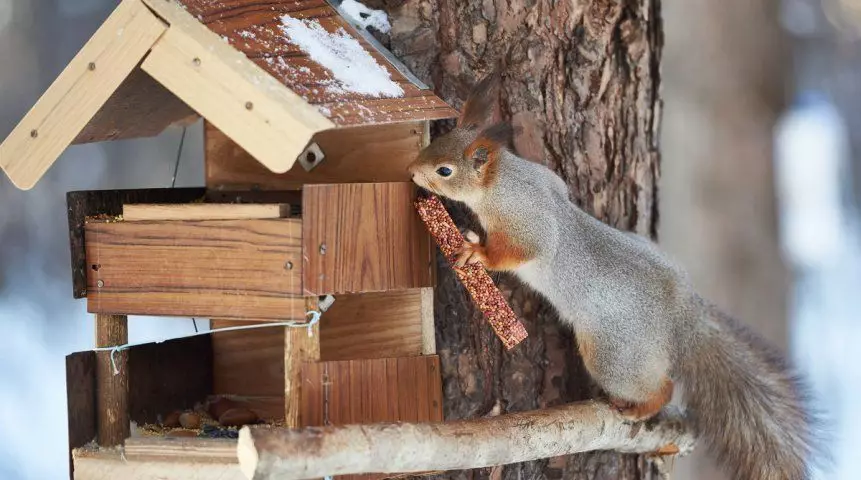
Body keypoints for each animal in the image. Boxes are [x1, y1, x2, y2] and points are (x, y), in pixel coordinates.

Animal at [406, 73, 824, 478]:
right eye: (435, 143)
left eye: (445, 170)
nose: (411, 171)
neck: (503, 180)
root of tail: (682, 317)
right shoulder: (549, 180)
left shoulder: (528, 224)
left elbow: (520, 252)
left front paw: (476, 251)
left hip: (613, 355)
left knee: (663, 386)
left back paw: (639, 407)